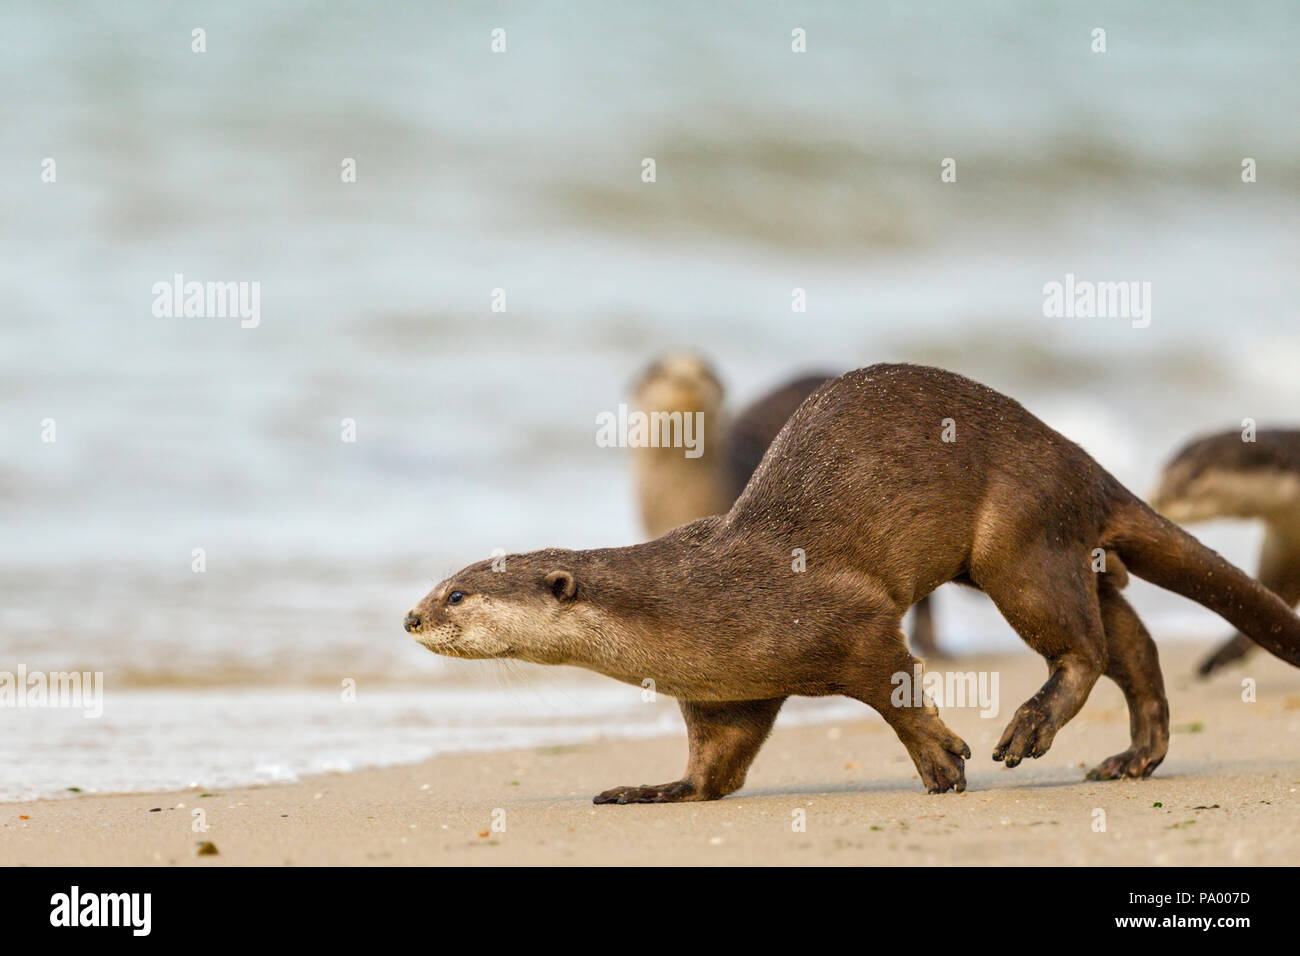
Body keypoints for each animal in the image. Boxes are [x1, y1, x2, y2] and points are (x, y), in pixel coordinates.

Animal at [1150, 428, 1300, 677]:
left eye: (1196, 475)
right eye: (1164, 469)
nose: (1160, 497)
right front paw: (1219, 657)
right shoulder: (1283, 546)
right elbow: (1270, 599)